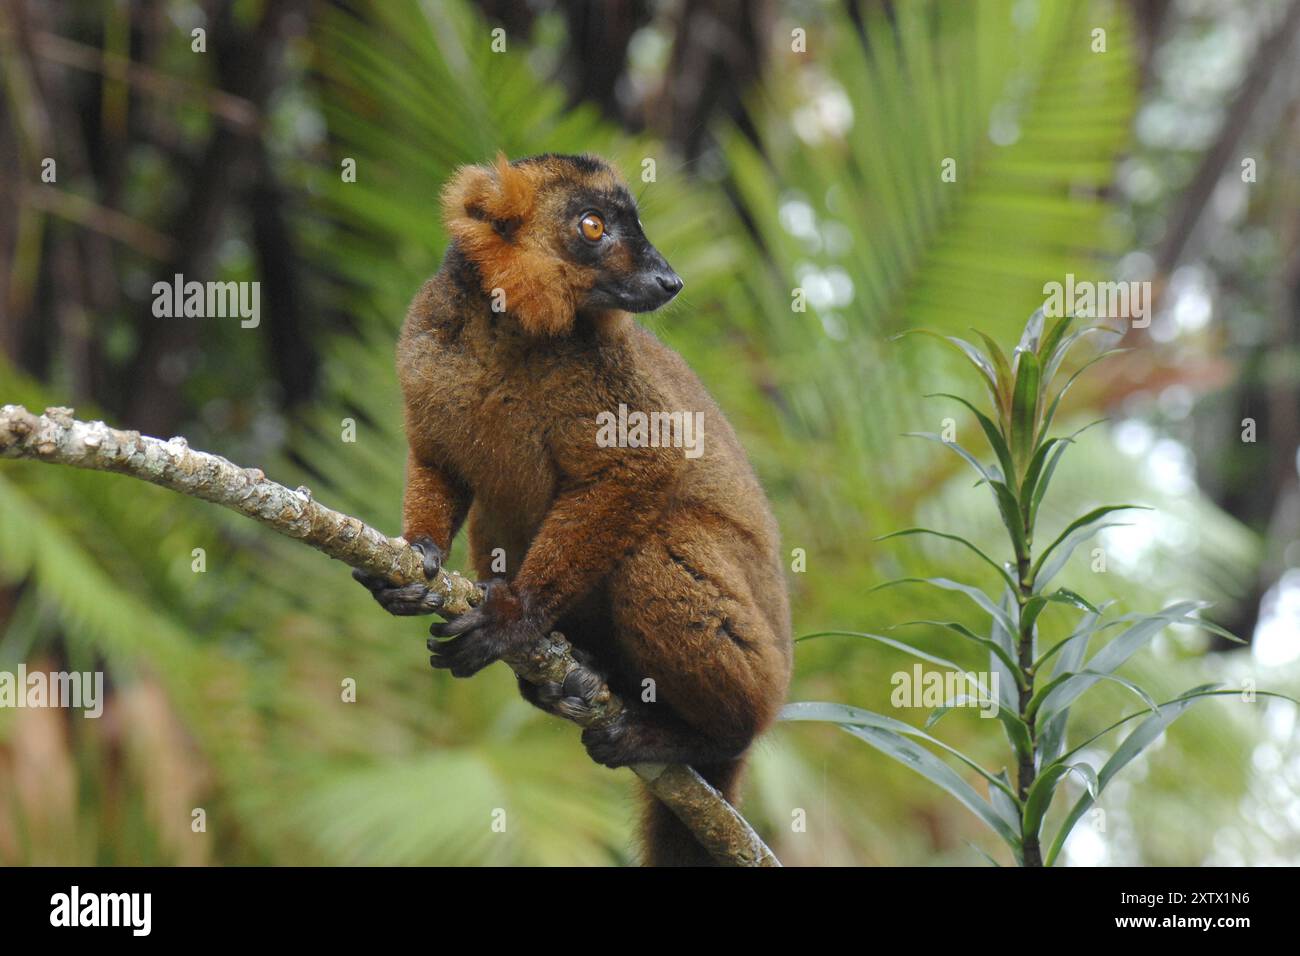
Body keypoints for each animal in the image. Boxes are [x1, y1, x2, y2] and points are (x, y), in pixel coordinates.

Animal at [353, 152, 792, 866]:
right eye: (593, 226)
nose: (669, 280)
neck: (510, 328)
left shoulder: (608, 367)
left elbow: (643, 467)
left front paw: (516, 618)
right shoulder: (426, 339)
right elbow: (438, 458)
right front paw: (415, 561)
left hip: (761, 665)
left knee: (655, 547)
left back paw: (699, 735)